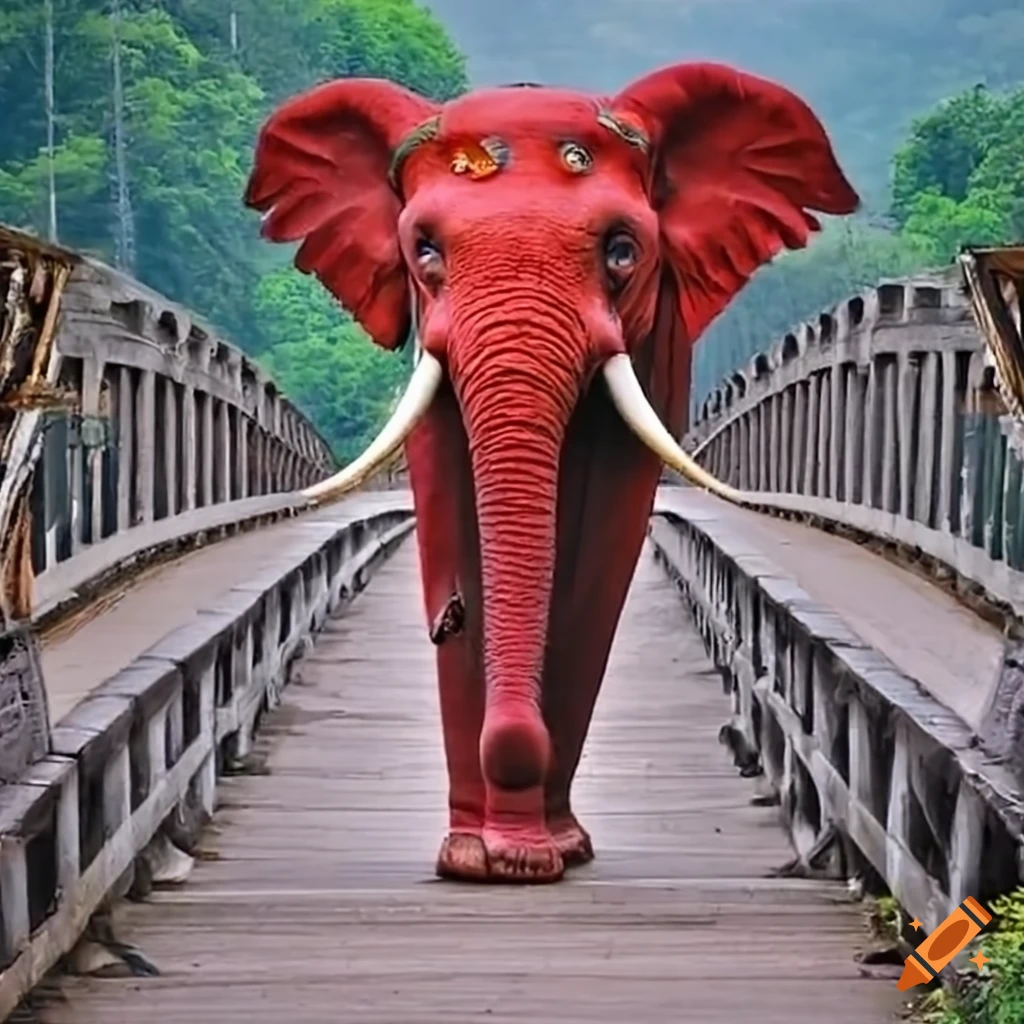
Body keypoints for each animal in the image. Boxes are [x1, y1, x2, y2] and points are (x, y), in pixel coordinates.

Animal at [244, 61, 859, 884]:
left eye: (623, 251)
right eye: (425, 251)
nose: (513, 753)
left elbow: (606, 540)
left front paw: (541, 853)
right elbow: (447, 510)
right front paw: (478, 858)